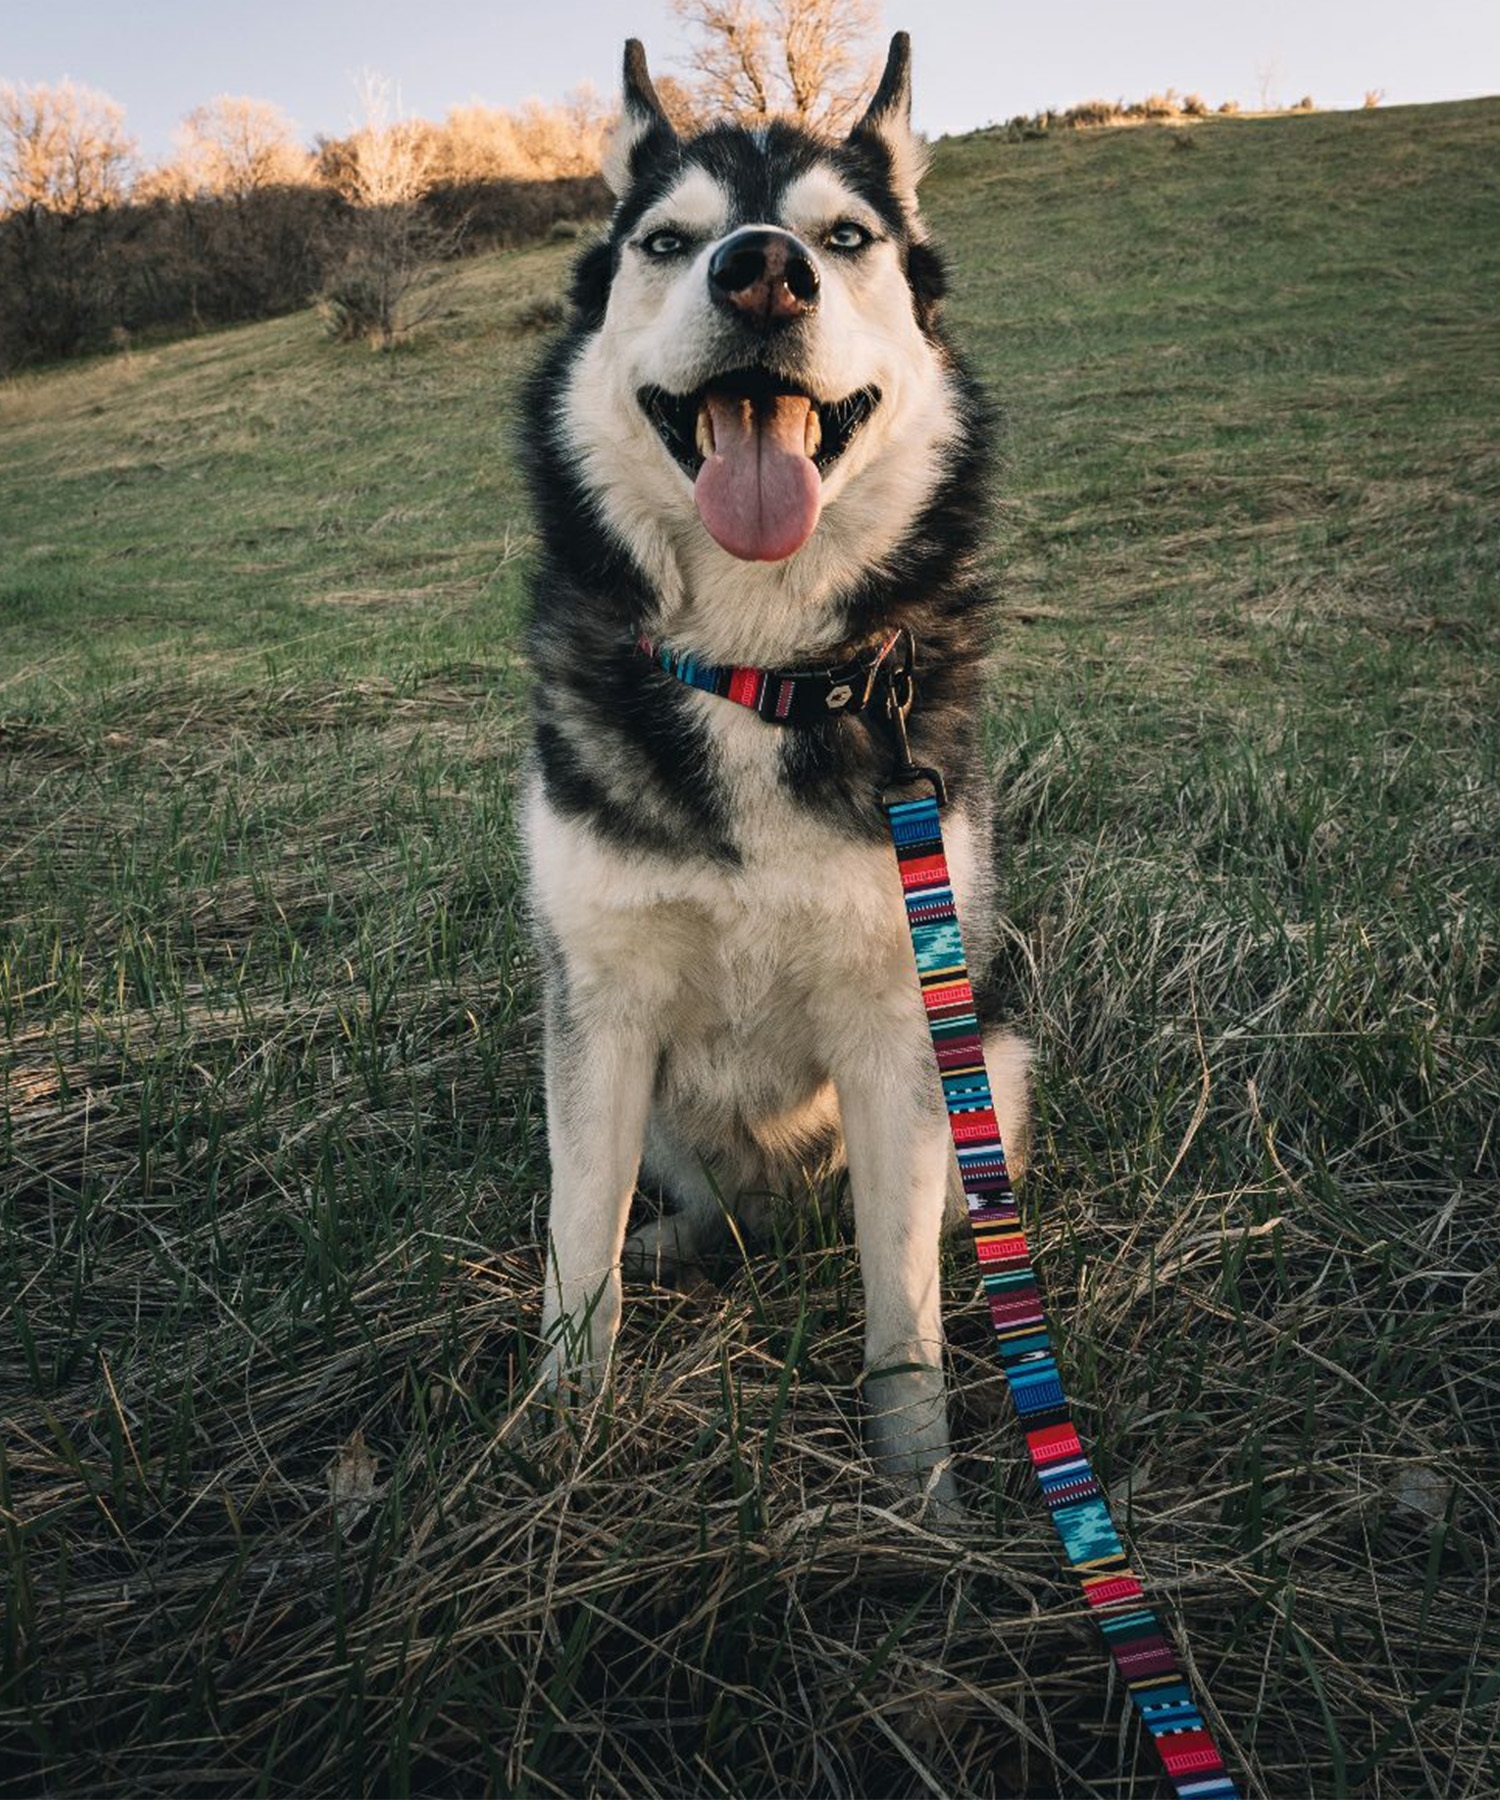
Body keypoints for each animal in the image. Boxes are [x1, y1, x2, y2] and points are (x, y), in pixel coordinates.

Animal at [522, 38, 1022, 1504]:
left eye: (843, 238)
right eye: (668, 242)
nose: (759, 270)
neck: (756, 668)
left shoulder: (901, 1019)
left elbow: (901, 1306)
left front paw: (921, 1495)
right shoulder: (598, 1008)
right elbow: (574, 1241)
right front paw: (558, 1443)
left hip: (994, 1048)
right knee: (690, 1210)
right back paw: (679, 1246)